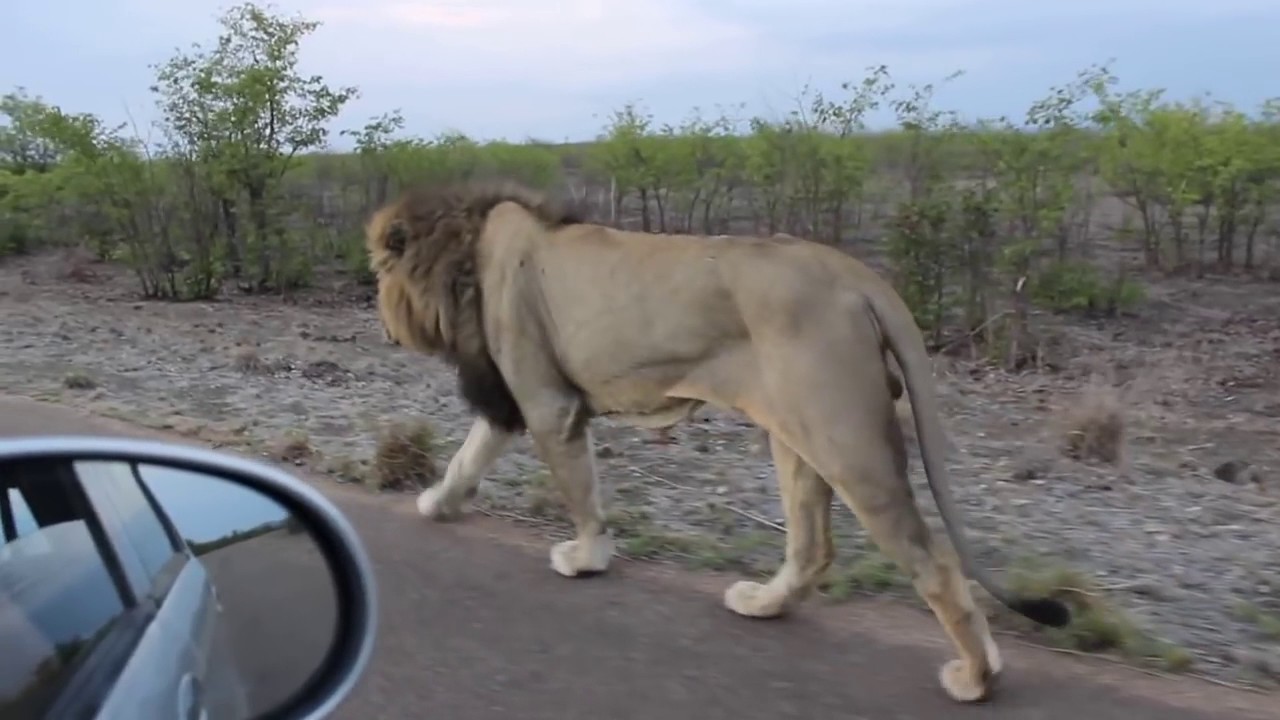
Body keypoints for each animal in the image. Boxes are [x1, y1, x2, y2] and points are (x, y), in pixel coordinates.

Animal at [365, 180, 1071, 704]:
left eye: (380, 277)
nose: (384, 326)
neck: (464, 253)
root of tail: (851, 273)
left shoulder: (547, 401)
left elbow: (578, 490)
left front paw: (586, 558)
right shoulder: (511, 400)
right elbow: (467, 457)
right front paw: (435, 504)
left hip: (847, 437)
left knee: (935, 563)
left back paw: (976, 677)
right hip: (796, 433)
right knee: (813, 547)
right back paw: (763, 604)